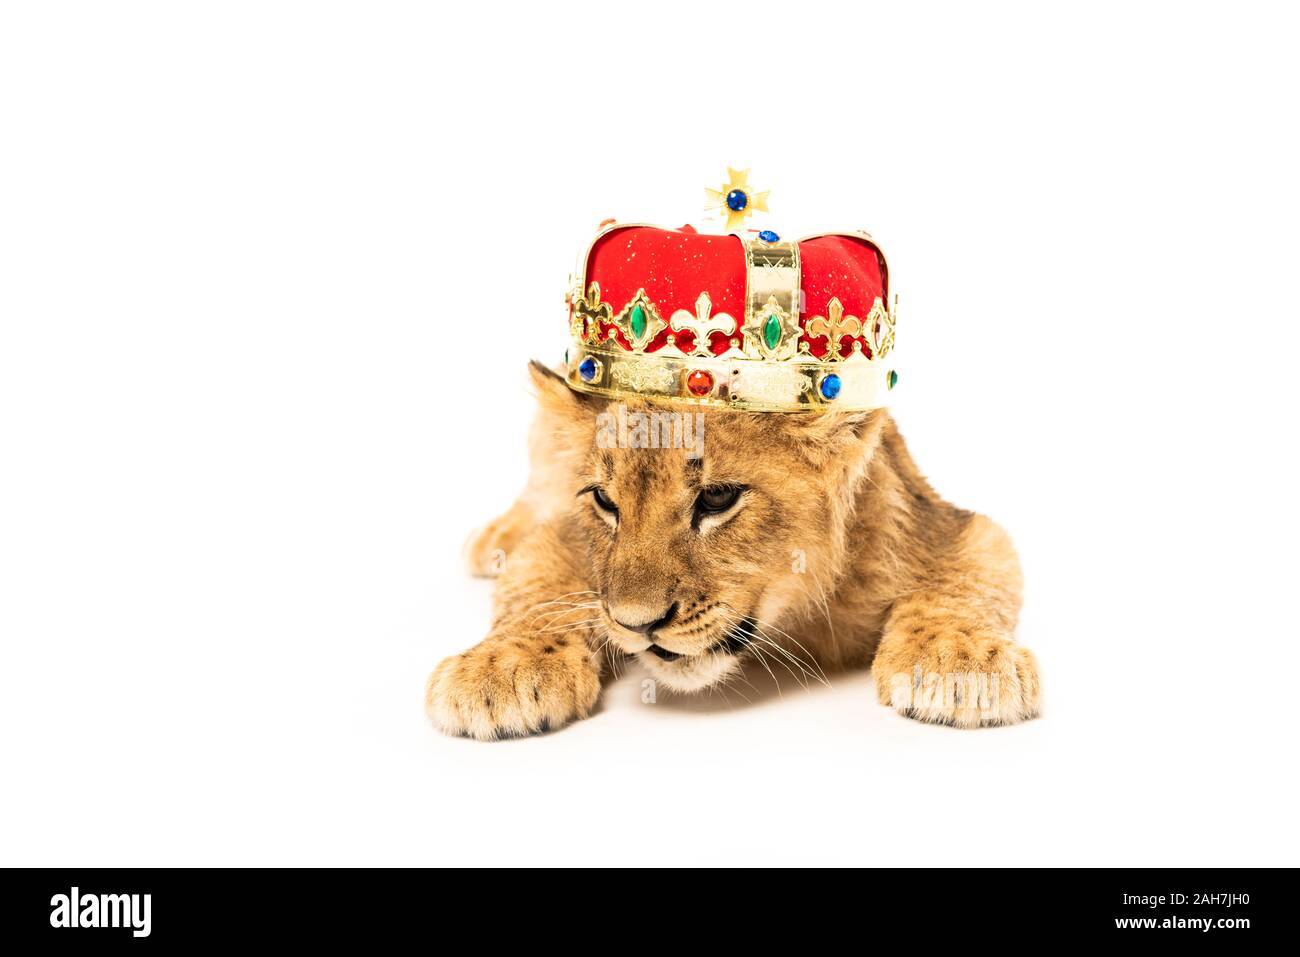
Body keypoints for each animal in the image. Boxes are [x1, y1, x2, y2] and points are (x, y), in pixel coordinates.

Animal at [425, 361, 1040, 739]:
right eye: (603, 499)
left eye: (718, 498)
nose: (637, 624)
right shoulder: (564, 536)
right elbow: (538, 591)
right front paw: (499, 671)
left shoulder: (951, 526)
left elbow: (958, 589)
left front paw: (963, 666)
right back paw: (492, 539)